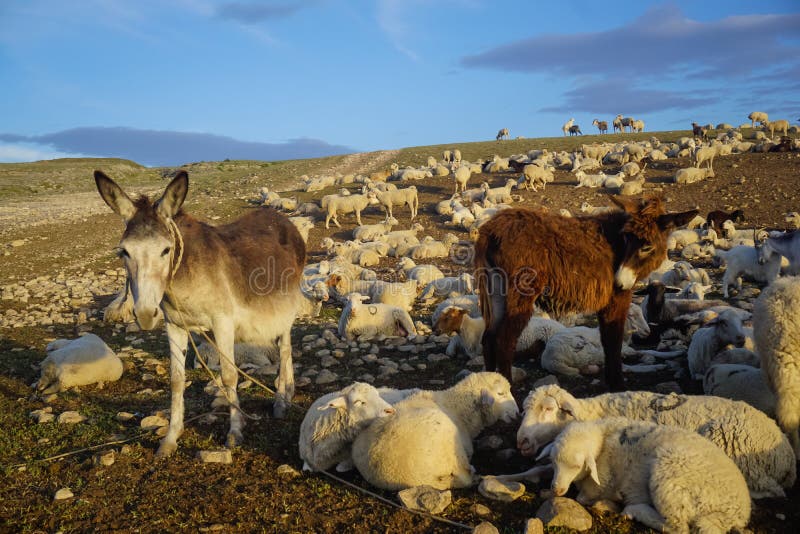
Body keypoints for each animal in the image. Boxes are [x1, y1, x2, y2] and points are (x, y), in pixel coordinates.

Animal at [546, 418, 751, 533]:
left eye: (576, 466)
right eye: (553, 461)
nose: (556, 490)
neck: (603, 439)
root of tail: (735, 514)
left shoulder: (602, 481)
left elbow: (583, 496)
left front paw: (606, 501)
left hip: (670, 472)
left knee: (677, 527)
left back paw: (634, 510)